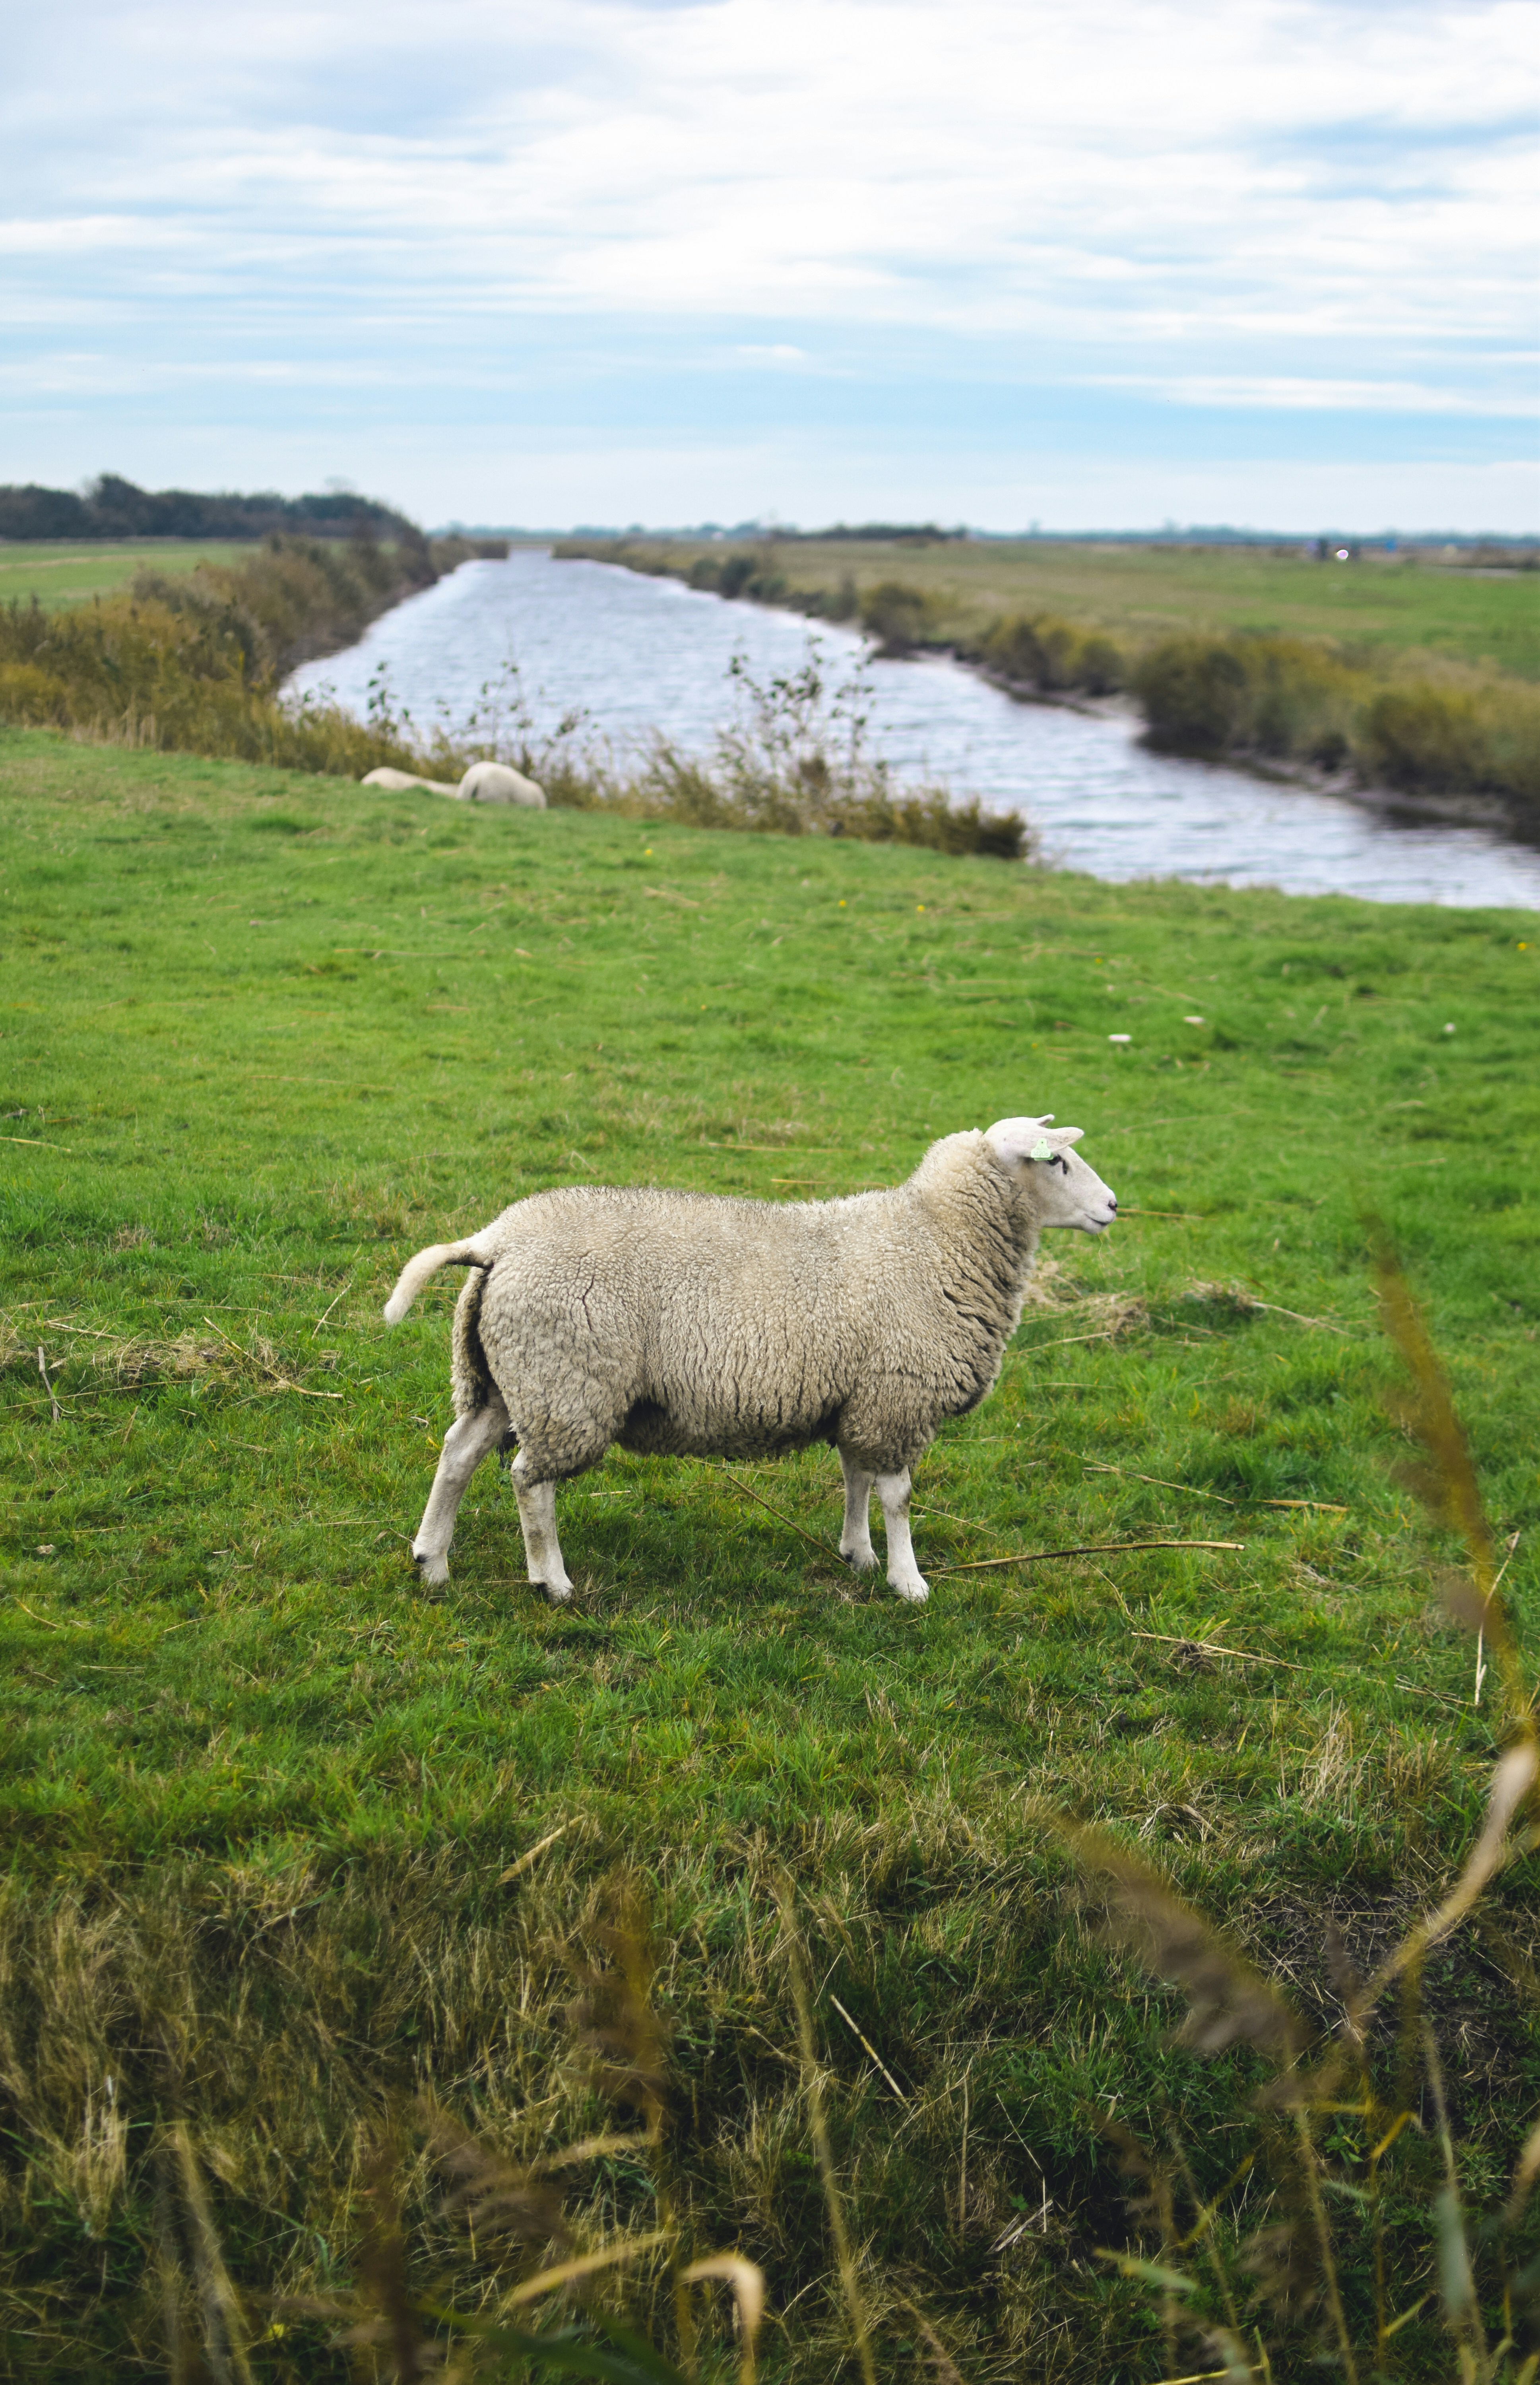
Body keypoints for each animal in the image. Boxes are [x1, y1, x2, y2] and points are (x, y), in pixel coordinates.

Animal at [383, 1117, 1116, 1604]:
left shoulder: (858, 1397)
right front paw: (908, 1580)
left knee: (458, 1452)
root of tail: (495, 1242)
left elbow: (854, 1479)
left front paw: (857, 1554)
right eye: (1056, 1163)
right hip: (568, 1381)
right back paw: (552, 1581)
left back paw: (432, 1561)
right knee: (528, 1480)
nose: (1112, 1206)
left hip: (508, 1376)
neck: (935, 1240)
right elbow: (898, 1496)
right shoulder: (897, 1397)